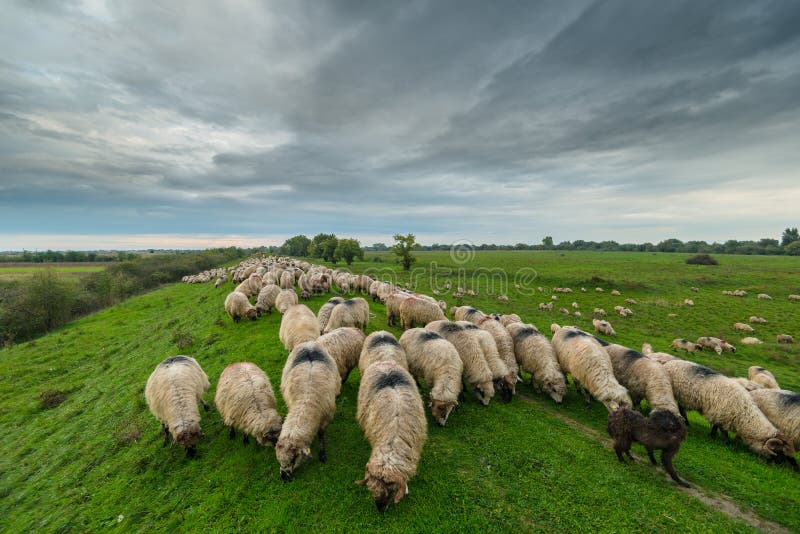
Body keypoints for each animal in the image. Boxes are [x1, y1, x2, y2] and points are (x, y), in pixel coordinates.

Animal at [276, 342, 340, 480]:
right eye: (279, 460)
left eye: (293, 458)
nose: (284, 477)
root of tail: (309, 343)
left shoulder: (325, 417)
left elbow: (321, 434)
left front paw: (322, 454)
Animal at [663, 359, 796, 464]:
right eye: (778, 452)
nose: (779, 466)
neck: (743, 413)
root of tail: (670, 362)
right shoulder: (720, 413)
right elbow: (722, 429)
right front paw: (724, 441)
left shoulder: (721, 414)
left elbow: (716, 426)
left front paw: (714, 436)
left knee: (681, 406)